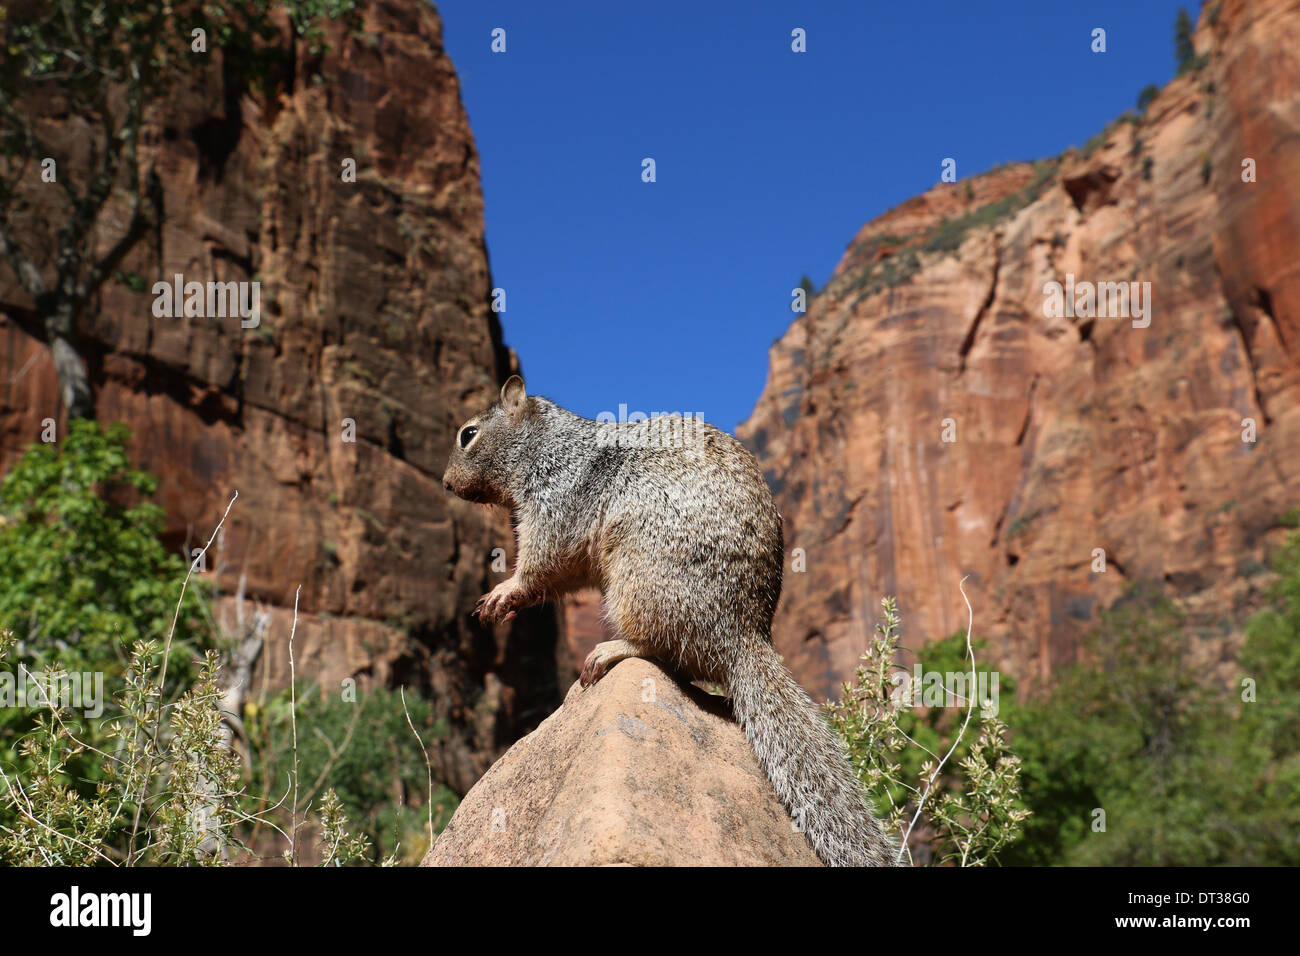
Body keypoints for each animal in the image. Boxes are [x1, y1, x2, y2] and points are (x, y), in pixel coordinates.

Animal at [442, 375, 897, 866]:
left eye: (468, 434)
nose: (445, 483)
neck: (547, 444)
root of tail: (746, 635)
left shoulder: (555, 502)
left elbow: (543, 559)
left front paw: (504, 590)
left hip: (638, 572)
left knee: (657, 644)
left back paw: (611, 650)